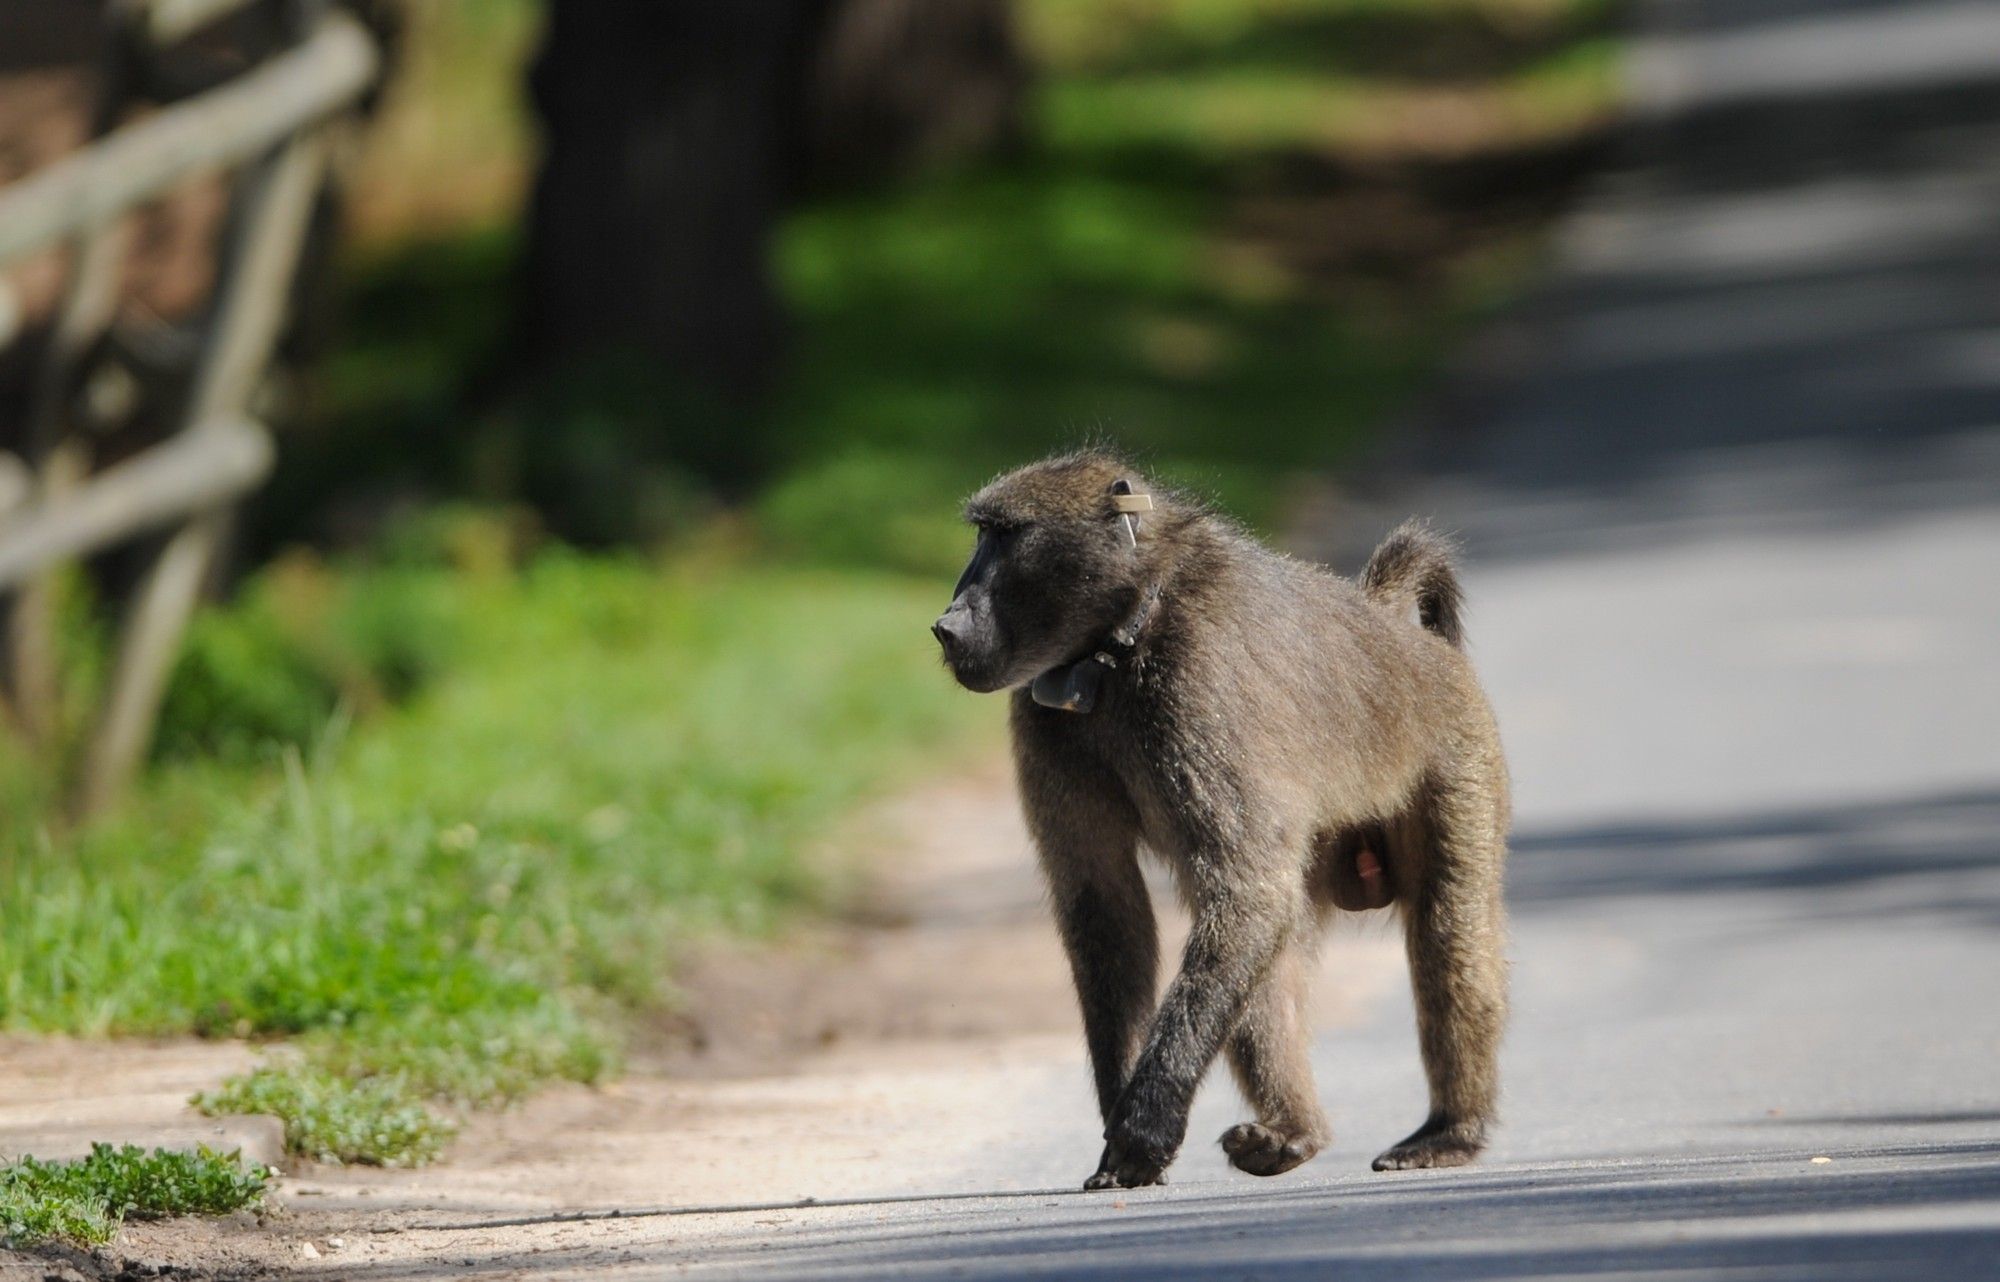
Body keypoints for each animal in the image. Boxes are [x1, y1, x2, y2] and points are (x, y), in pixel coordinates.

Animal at [932, 451, 1508, 1189]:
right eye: (984, 534)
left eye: (1005, 535)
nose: (947, 624)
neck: (1119, 643)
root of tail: (1402, 636)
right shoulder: (1044, 713)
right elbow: (1108, 905)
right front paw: (1119, 1136)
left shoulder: (1194, 685)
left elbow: (1245, 891)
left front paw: (1144, 1128)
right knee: (1269, 950)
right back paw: (1294, 1134)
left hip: (1459, 760)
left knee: (1444, 930)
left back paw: (1449, 1133)